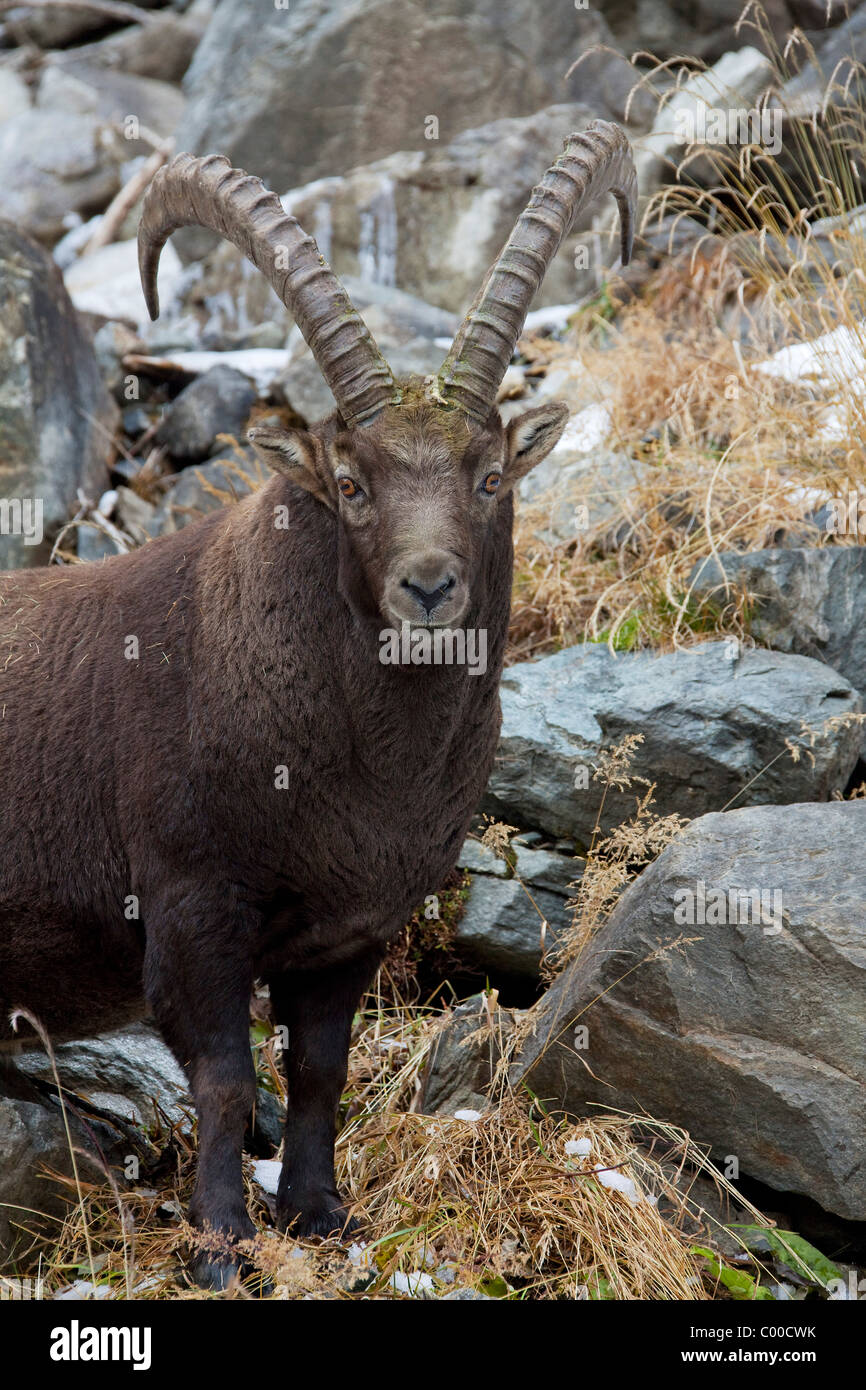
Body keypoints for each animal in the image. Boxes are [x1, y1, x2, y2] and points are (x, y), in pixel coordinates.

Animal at [0, 123, 635, 1286]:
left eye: (489, 475)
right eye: (349, 481)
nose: (428, 587)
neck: (353, 770)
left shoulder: (349, 930)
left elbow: (319, 1071)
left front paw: (318, 1215)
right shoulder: (192, 907)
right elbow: (222, 1081)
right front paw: (218, 1249)